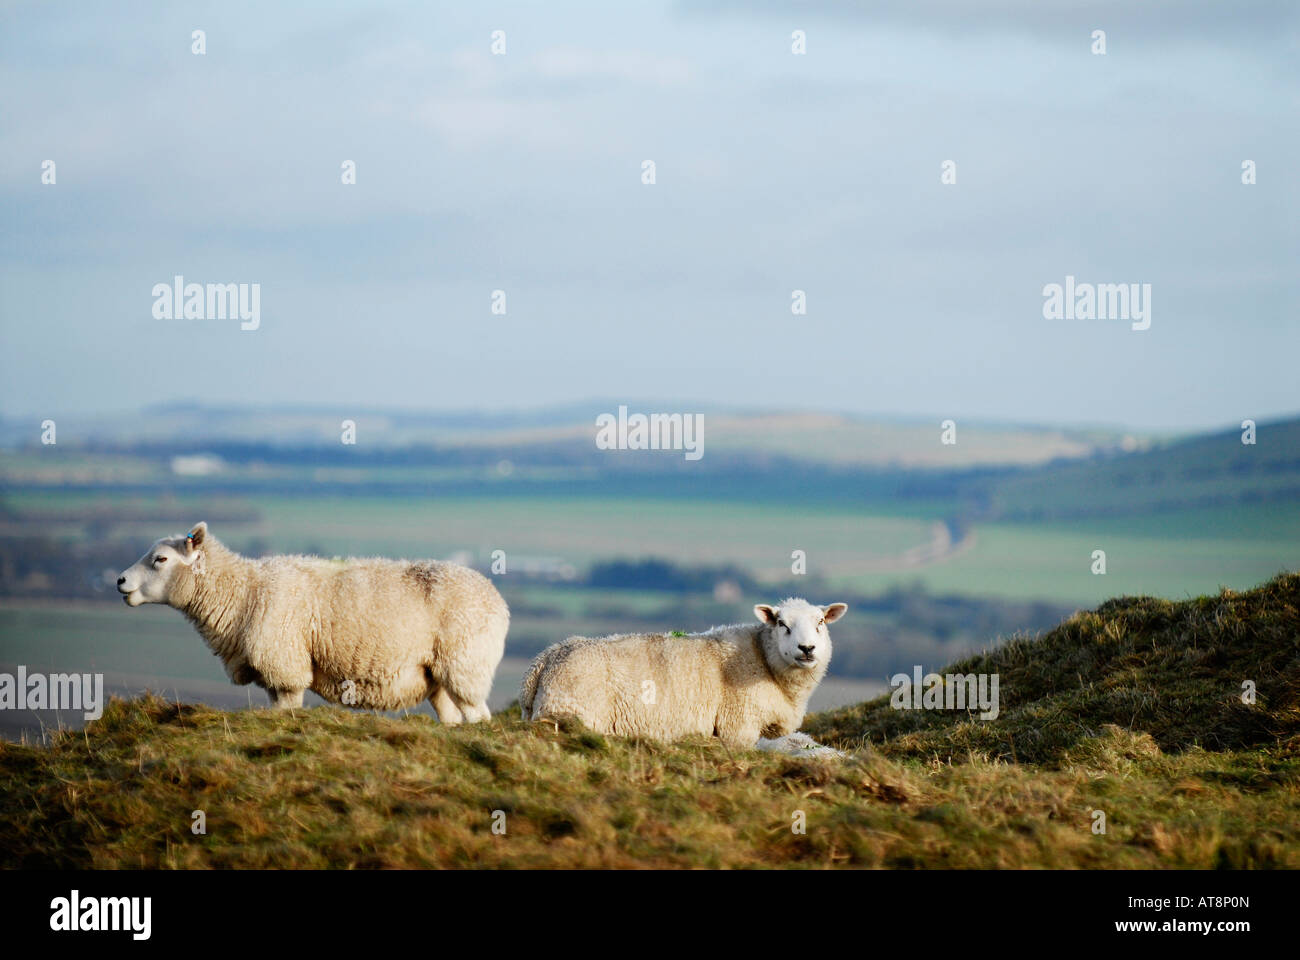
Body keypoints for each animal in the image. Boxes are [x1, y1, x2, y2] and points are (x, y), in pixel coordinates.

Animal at [116, 522, 508, 722]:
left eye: (161, 559)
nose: (120, 580)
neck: (244, 594)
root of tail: (498, 601)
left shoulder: (286, 666)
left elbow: (288, 709)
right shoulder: (272, 676)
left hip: (466, 664)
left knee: (479, 716)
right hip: (438, 675)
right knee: (452, 717)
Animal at [519, 598, 847, 749]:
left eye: (820, 622)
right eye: (781, 624)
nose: (807, 648)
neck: (762, 659)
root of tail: (545, 660)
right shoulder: (738, 727)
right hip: (572, 713)